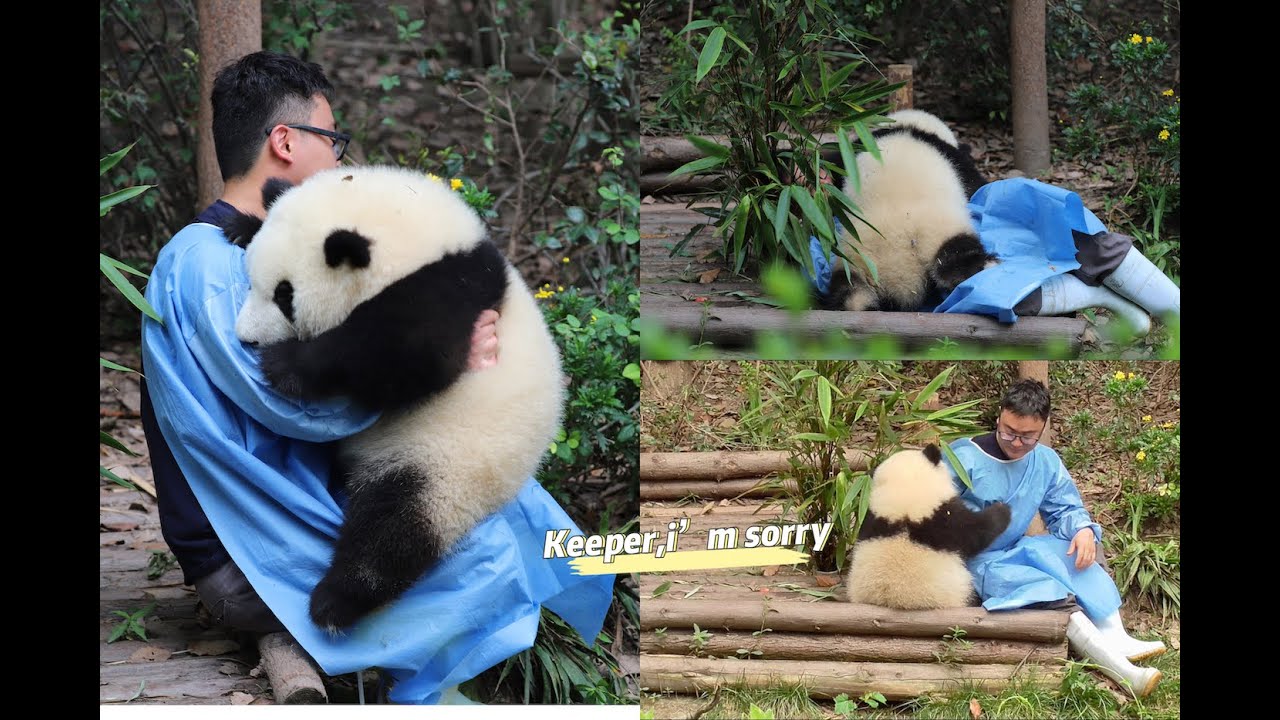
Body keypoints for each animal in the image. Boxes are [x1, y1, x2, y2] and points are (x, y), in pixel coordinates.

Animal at [223, 165, 565, 632]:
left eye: (284, 296)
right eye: (253, 281)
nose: (246, 338)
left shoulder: (449, 292)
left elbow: (409, 355)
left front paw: (285, 364)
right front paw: (240, 224)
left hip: (447, 462)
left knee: (393, 530)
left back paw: (335, 601)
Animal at [819, 109, 996, 312]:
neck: (908, 125)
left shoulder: (850, 152)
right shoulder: (955, 159)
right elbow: (975, 183)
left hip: (854, 263)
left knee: (849, 293)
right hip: (937, 233)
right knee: (953, 259)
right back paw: (987, 264)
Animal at [843, 444, 1010, 610]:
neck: (906, 489)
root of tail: (893, 601)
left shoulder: (870, 519)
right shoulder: (945, 519)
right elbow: (977, 532)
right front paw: (1003, 510)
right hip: (958, 591)